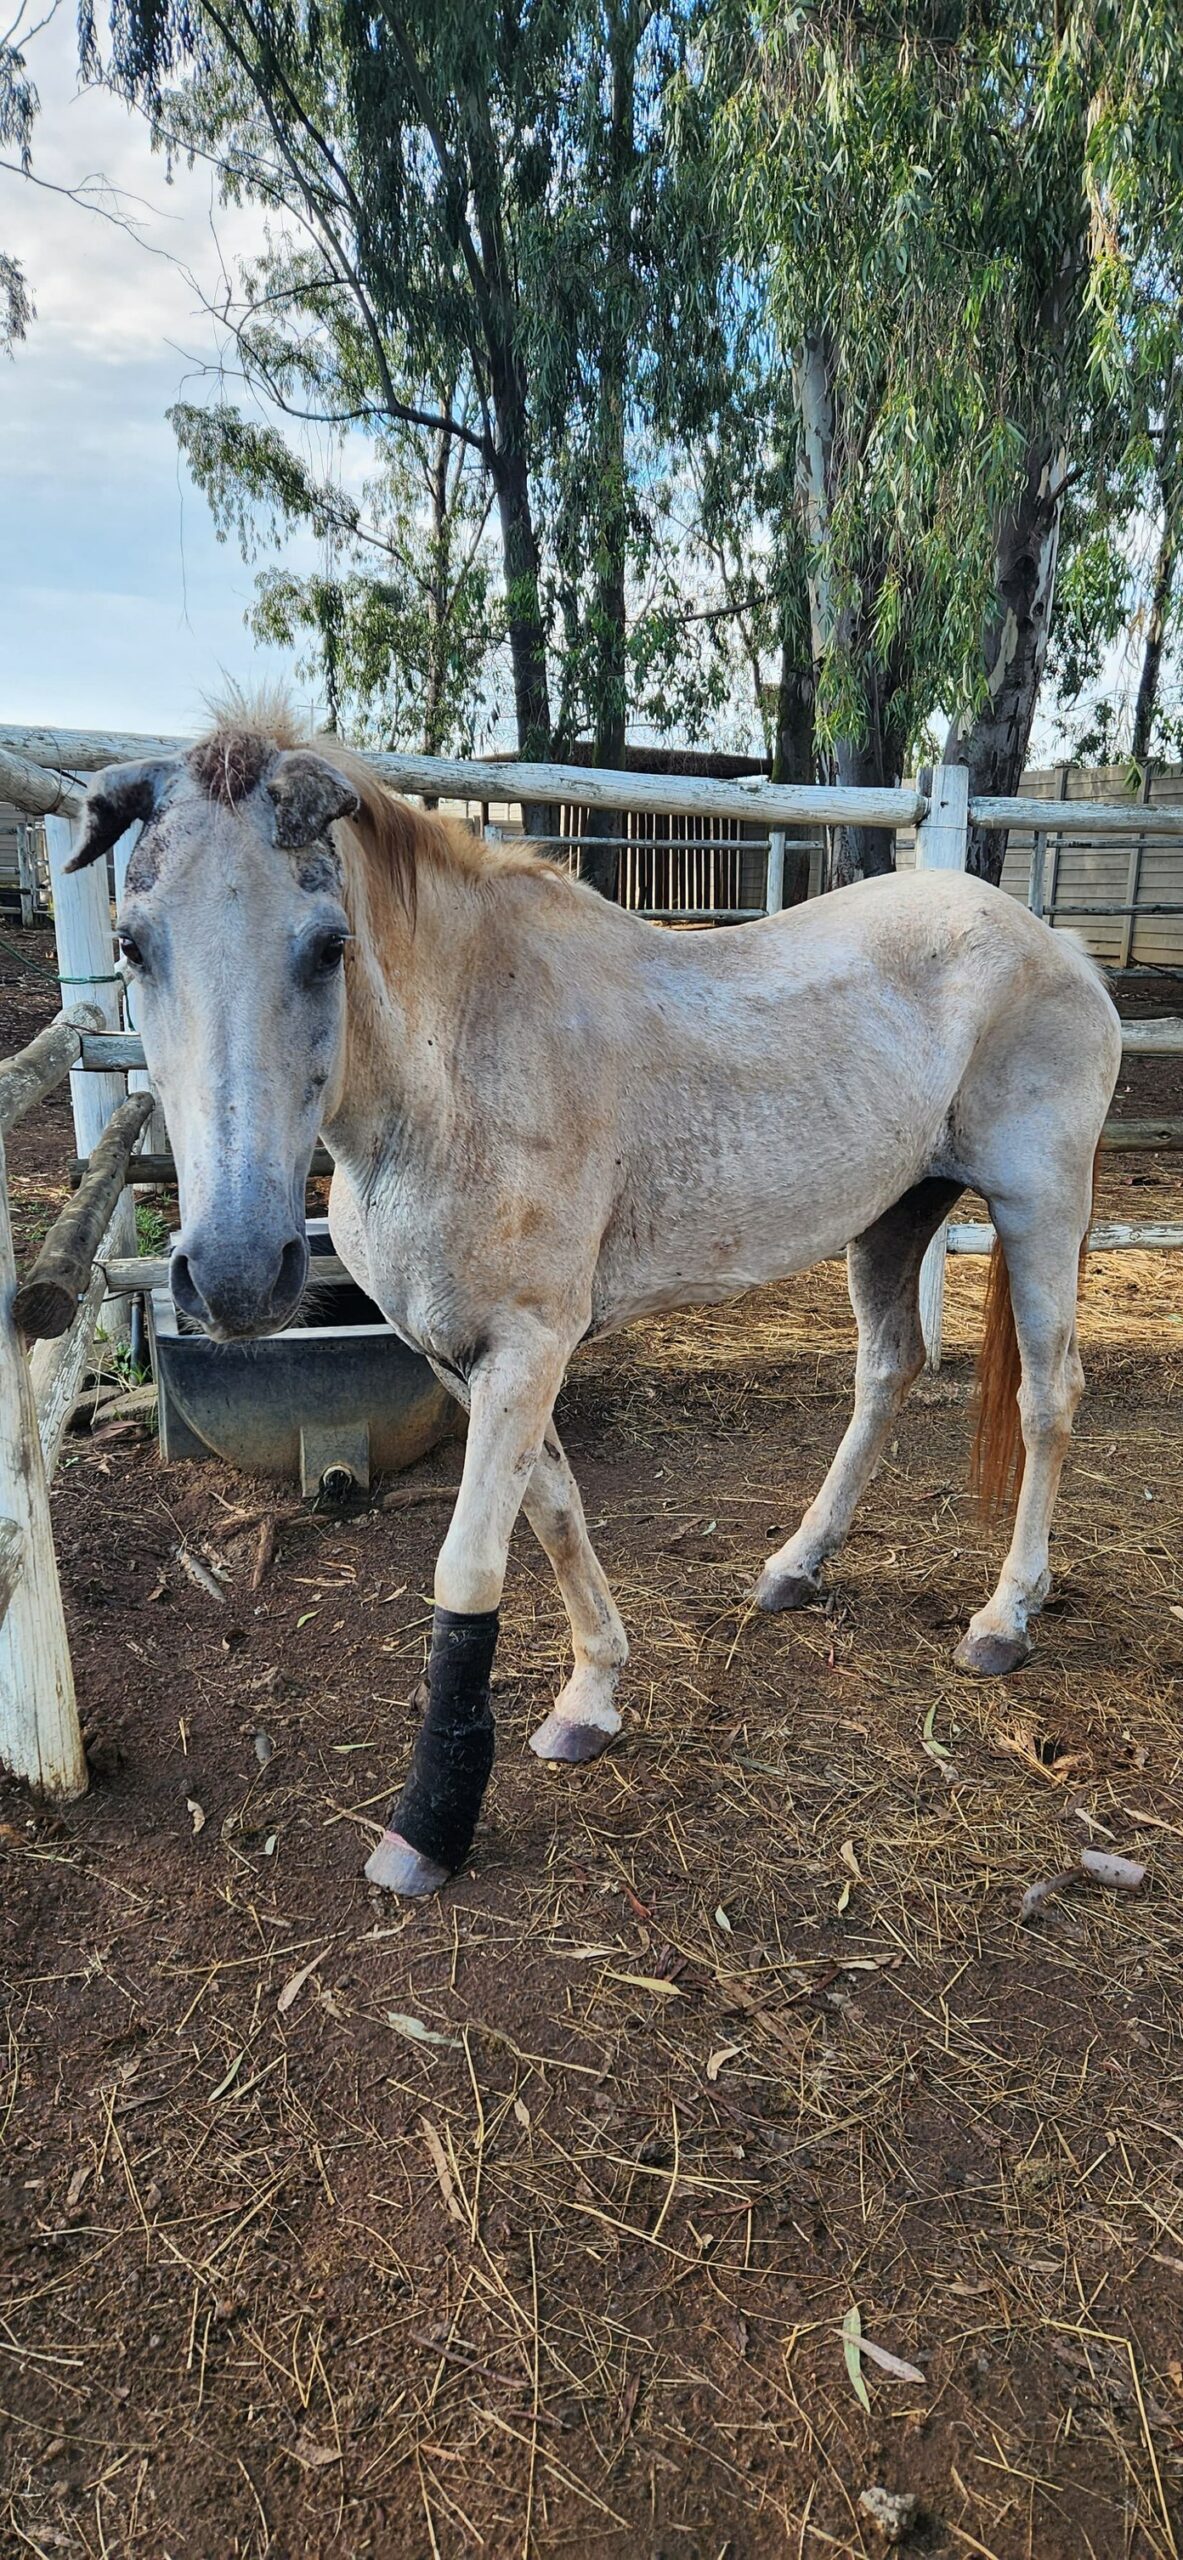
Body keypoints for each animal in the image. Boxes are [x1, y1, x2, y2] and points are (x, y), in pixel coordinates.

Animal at [69, 711, 1122, 1898]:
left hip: (1039, 1209)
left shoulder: (527, 1347)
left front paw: (428, 1824)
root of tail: (1056, 948)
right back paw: (795, 1567)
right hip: (894, 1215)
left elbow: (471, 1566)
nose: (238, 1273)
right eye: (132, 945)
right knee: (886, 1370)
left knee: (1047, 1398)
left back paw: (1004, 1616)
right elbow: (556, 1514)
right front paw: (590, 1700)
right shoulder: (466, 1356)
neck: (458, 1068)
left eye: (327, 945)